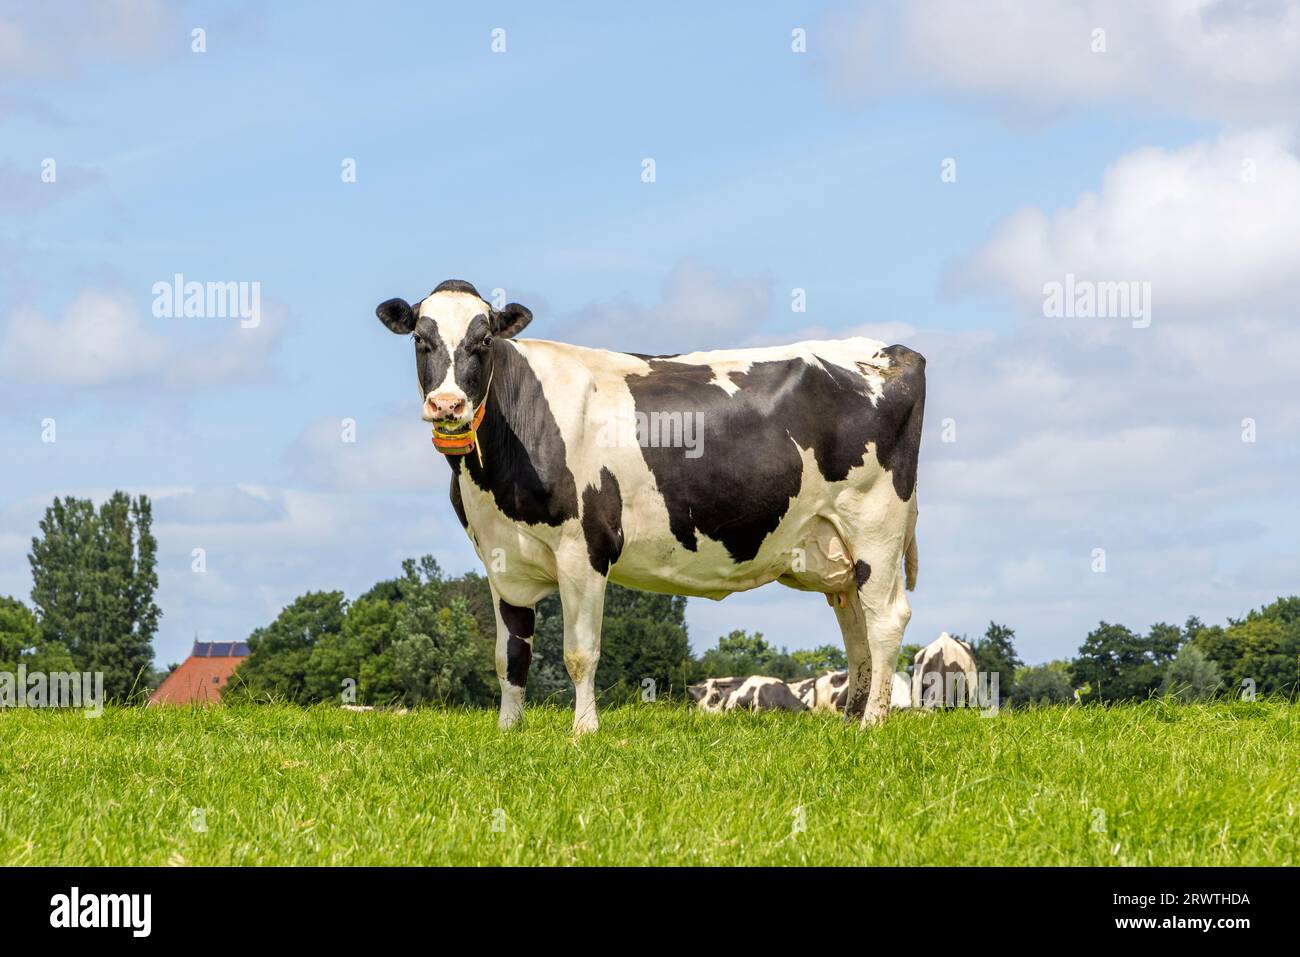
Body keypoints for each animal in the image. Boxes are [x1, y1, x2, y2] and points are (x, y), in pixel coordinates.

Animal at [374, 279, 925, 734]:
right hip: (836, 545)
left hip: (875, 524)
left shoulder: (585, 548)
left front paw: (584, 731)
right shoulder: (500, 556)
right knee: (856, 627)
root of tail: (887, 350)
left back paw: (872, 723)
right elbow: (510, 655)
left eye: (484, 340)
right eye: (420, 338)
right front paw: (509, 730)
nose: (447, 405)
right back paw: (850, 719)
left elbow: (580, 652)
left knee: (885, 618)